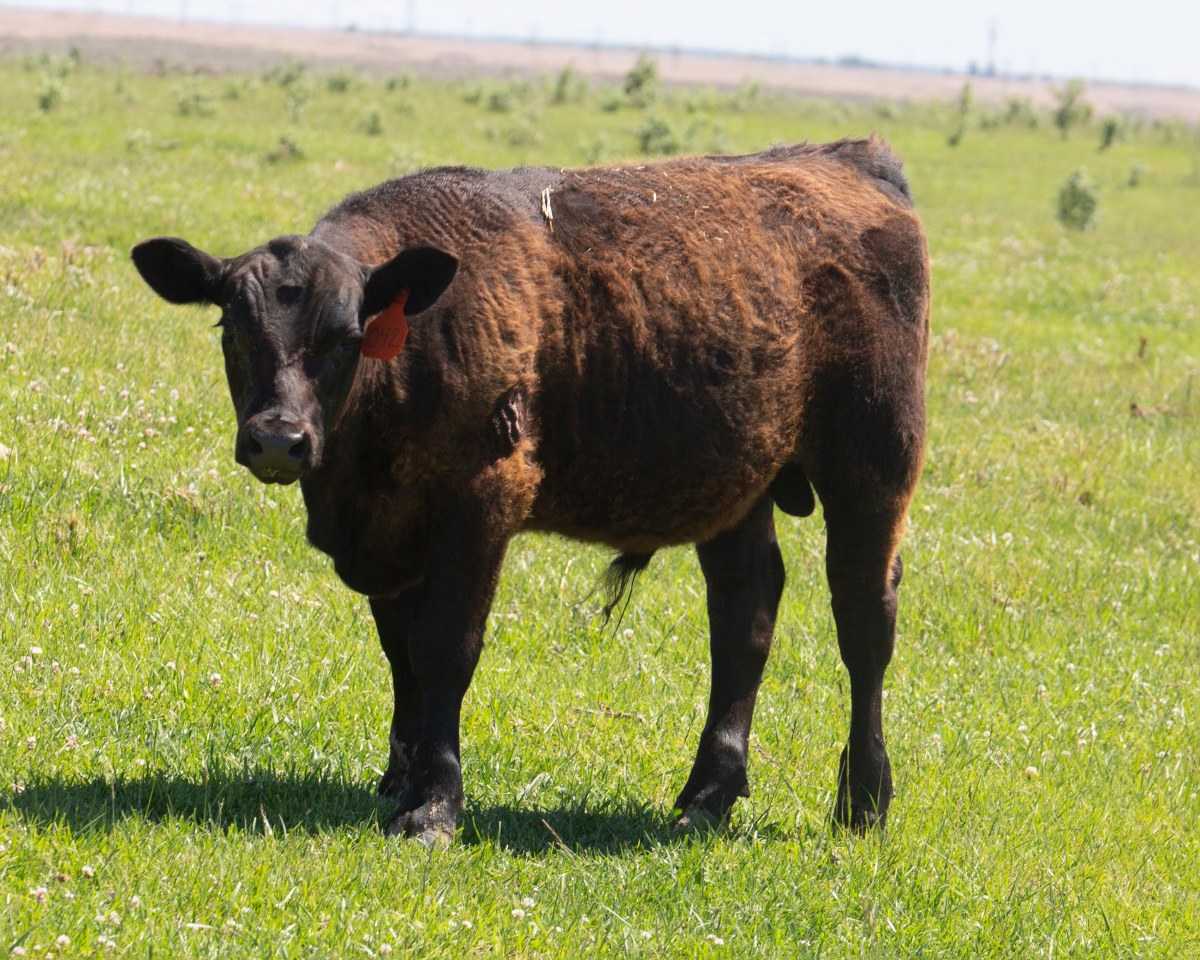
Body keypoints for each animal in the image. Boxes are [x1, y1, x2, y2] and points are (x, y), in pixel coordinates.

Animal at [132, 137, 930, 846]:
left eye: (346, 338)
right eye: (232, 330)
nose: (278, 438)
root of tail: (851, 160)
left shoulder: (479, 505)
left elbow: (444, 649)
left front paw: (433, 804)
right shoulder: (387, 533)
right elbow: (399, 653)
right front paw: (399, 777)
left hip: (874, 463)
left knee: (864, 619)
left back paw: (863, 801)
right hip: (738, 487)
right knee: (745, 618)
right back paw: (707, 796)